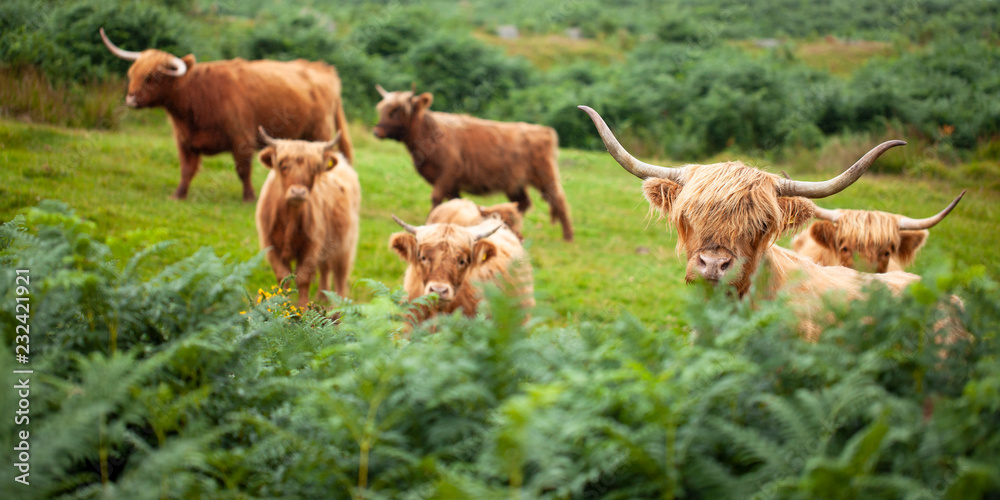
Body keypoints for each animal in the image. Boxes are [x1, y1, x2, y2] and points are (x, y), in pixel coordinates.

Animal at [100, 27, 354, 202]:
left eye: (153, 76)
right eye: (132, 72)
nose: (131, 99)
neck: (197, 99)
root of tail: (323, 68)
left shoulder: (242, 138)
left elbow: (243, 170)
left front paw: (249, 198)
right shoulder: (185, 141)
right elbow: (186, 170)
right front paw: (178, 195)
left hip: (320, 132)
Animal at [255, 128, 360, 308]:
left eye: (315, 168)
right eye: (282, 164)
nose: (298, 192)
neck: (290, 216)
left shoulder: (312, 245)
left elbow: (303, 278)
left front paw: (302, 310)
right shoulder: (270, 244)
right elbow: (283, 276)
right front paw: (282, 306)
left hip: (345, 244)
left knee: (340, 274)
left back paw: (338, 305)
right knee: (325, 268)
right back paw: (322, 297)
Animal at [372, 85, 574, 241]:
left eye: (397, 110)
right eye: (381, 108)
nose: (377, 131)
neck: (427, 134)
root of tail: (544, 130)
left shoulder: (448, 173)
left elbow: (436, 197)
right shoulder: (452, 182)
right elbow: (454, 201)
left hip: (544, 174)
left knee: (558, 199)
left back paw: (568, 237)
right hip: (515, 183)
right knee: (523, 203)